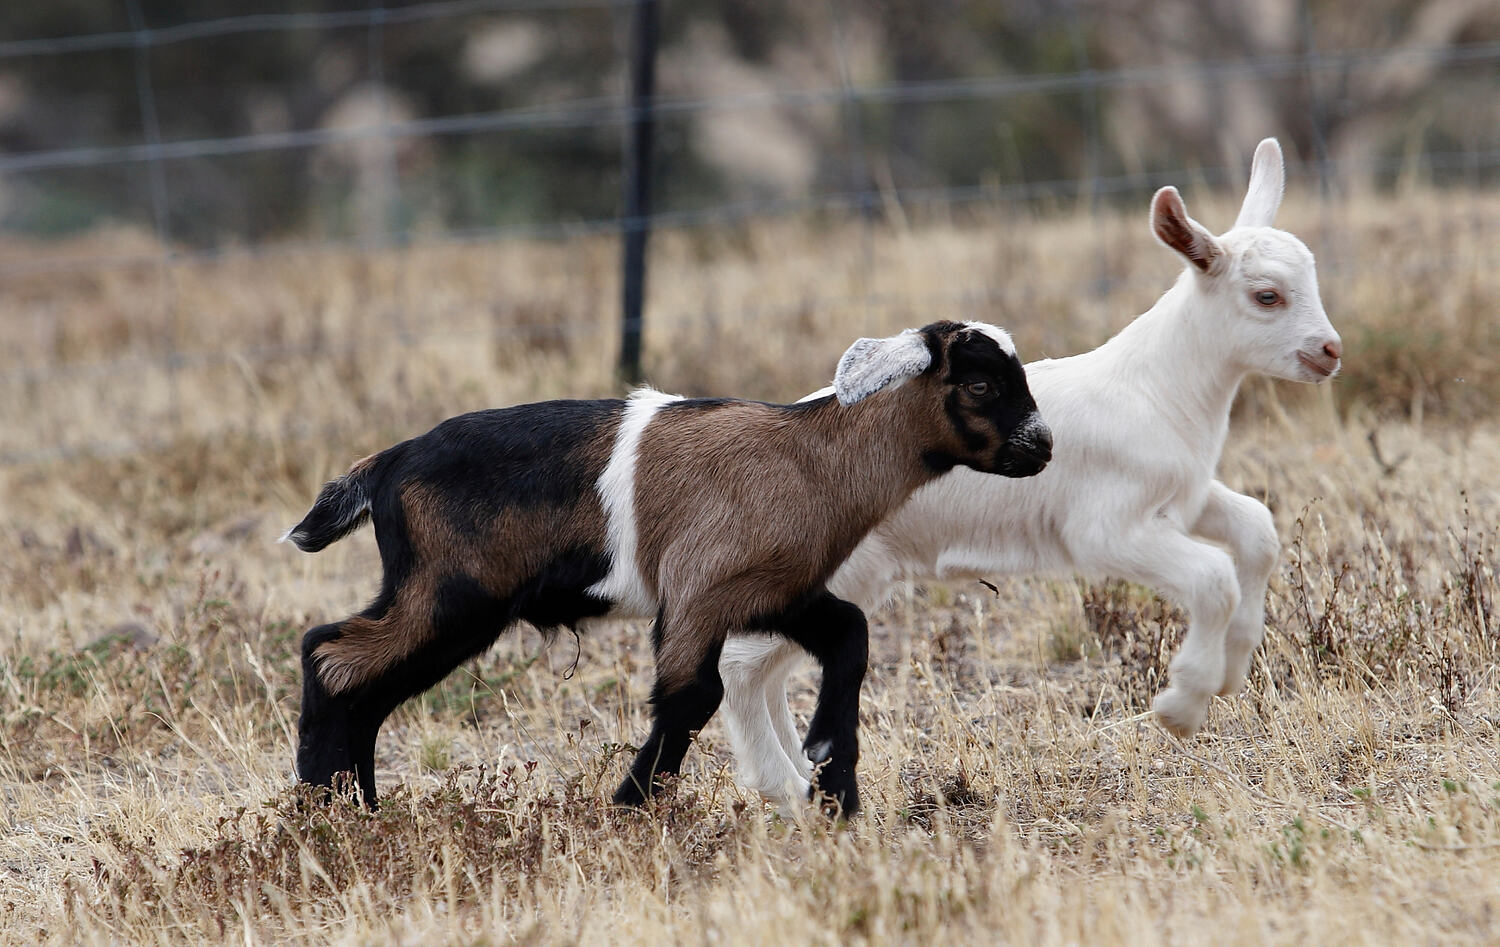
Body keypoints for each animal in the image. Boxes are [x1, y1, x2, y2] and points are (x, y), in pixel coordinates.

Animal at [283, 320, 1052, 814]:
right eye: (981, 385)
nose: (1042, 446)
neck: (811, 458)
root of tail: (388, 462)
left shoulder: (772, 590)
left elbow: (849, 635)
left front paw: (834, 780)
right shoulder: (697, 594)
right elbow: (691, 694)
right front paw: (629, 807)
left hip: (443, 599)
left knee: (360, 678)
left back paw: (354, 807)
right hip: (450, 593)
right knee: (331, 655)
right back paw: (327, 805)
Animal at [718, 138, 1343, 806]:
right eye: (1267, 295)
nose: (1330, 351)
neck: (1157, 390)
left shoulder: (1185, 498)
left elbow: (1257, 529)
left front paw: (1232, 667)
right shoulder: (1105, 529)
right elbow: (1211, 578)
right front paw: (1183, 705)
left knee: (769, 670)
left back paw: (796, 785)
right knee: (739, 666)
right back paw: (781, 784)